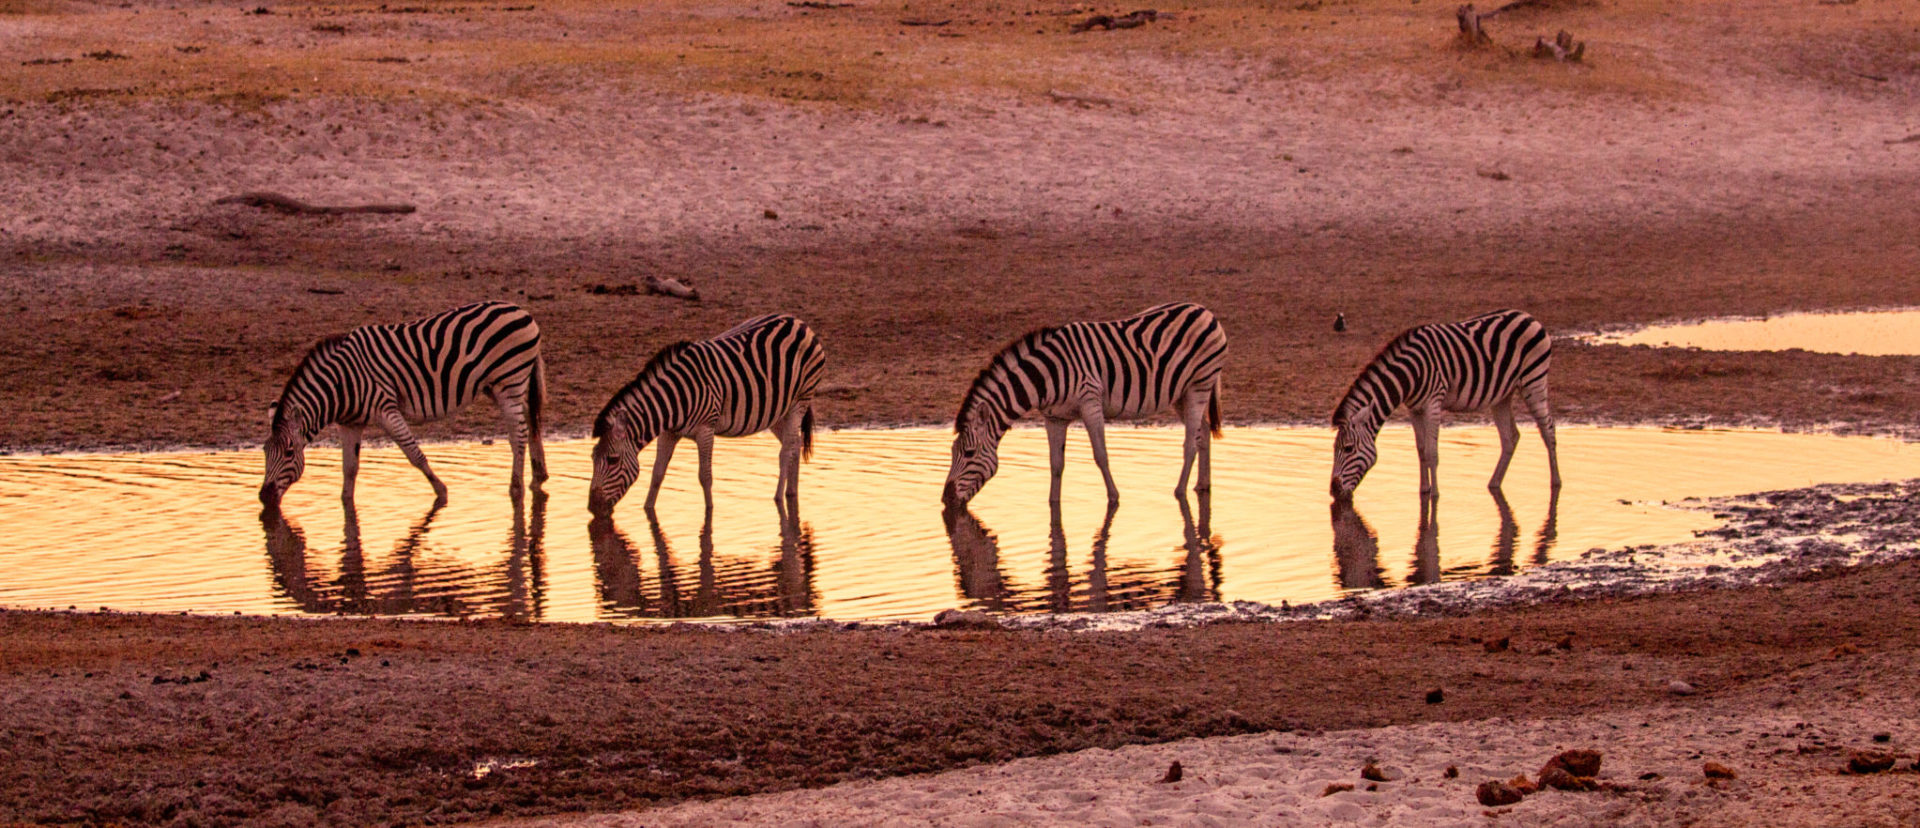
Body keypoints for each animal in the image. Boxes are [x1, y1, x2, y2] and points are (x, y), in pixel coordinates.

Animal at [259, 301, 546, 507]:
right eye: (264, 451)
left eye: (289, 452)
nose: (264, 497)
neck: (340, 385)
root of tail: (523, 311)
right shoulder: (350, 423)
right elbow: (349, 468)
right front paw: (346, 505)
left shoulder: (385, 408)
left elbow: (414, 454)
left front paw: (441, 492)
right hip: (499, 386)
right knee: (528, 421)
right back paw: (539, 476)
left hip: (509, 381)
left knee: (519, 432)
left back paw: (517, 488)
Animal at [587, 314, 826, 516]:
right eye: (592, 458)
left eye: (612, 460)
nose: (592, 508)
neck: (675, 399)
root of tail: (799, 321)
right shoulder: (669, 432)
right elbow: (657, 473)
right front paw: (647, 510)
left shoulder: (706, 429)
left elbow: (705, 476)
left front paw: (709, 514)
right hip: (775, 410)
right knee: (794, 443)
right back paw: (791, 494)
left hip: (800, 400)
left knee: (787, 449)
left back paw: (778, 499)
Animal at [941, 301, 1227, 507]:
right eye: (952, 452)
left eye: (969, 454)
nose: (946, 499)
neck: (1047, 376)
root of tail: (1205, 311)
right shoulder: (1053, 417)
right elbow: (1056, 463)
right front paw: (1053, 504)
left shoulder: (1091, 402)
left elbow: (1101, 455)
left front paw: (1113, 499)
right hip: (1180, 393)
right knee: (1202, 432)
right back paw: (1202, 485)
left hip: (1199, 385)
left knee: (1191, 442)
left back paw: (1179, 492)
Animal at [1329, 308, 1561, 500]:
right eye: (1335, 449)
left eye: (1348, 449)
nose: (1333, 491)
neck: (1410, 374)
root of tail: (1528, 316)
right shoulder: (1414, 408)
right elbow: (1421, 449)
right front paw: (1423, 490)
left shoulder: (1433, 403)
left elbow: (1432, 453)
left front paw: (1435, 496)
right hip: (1502, 395)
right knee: (1510, 437)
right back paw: (1494, 484)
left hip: (1533, 381)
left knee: (1548, 429)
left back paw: (1556, 483)